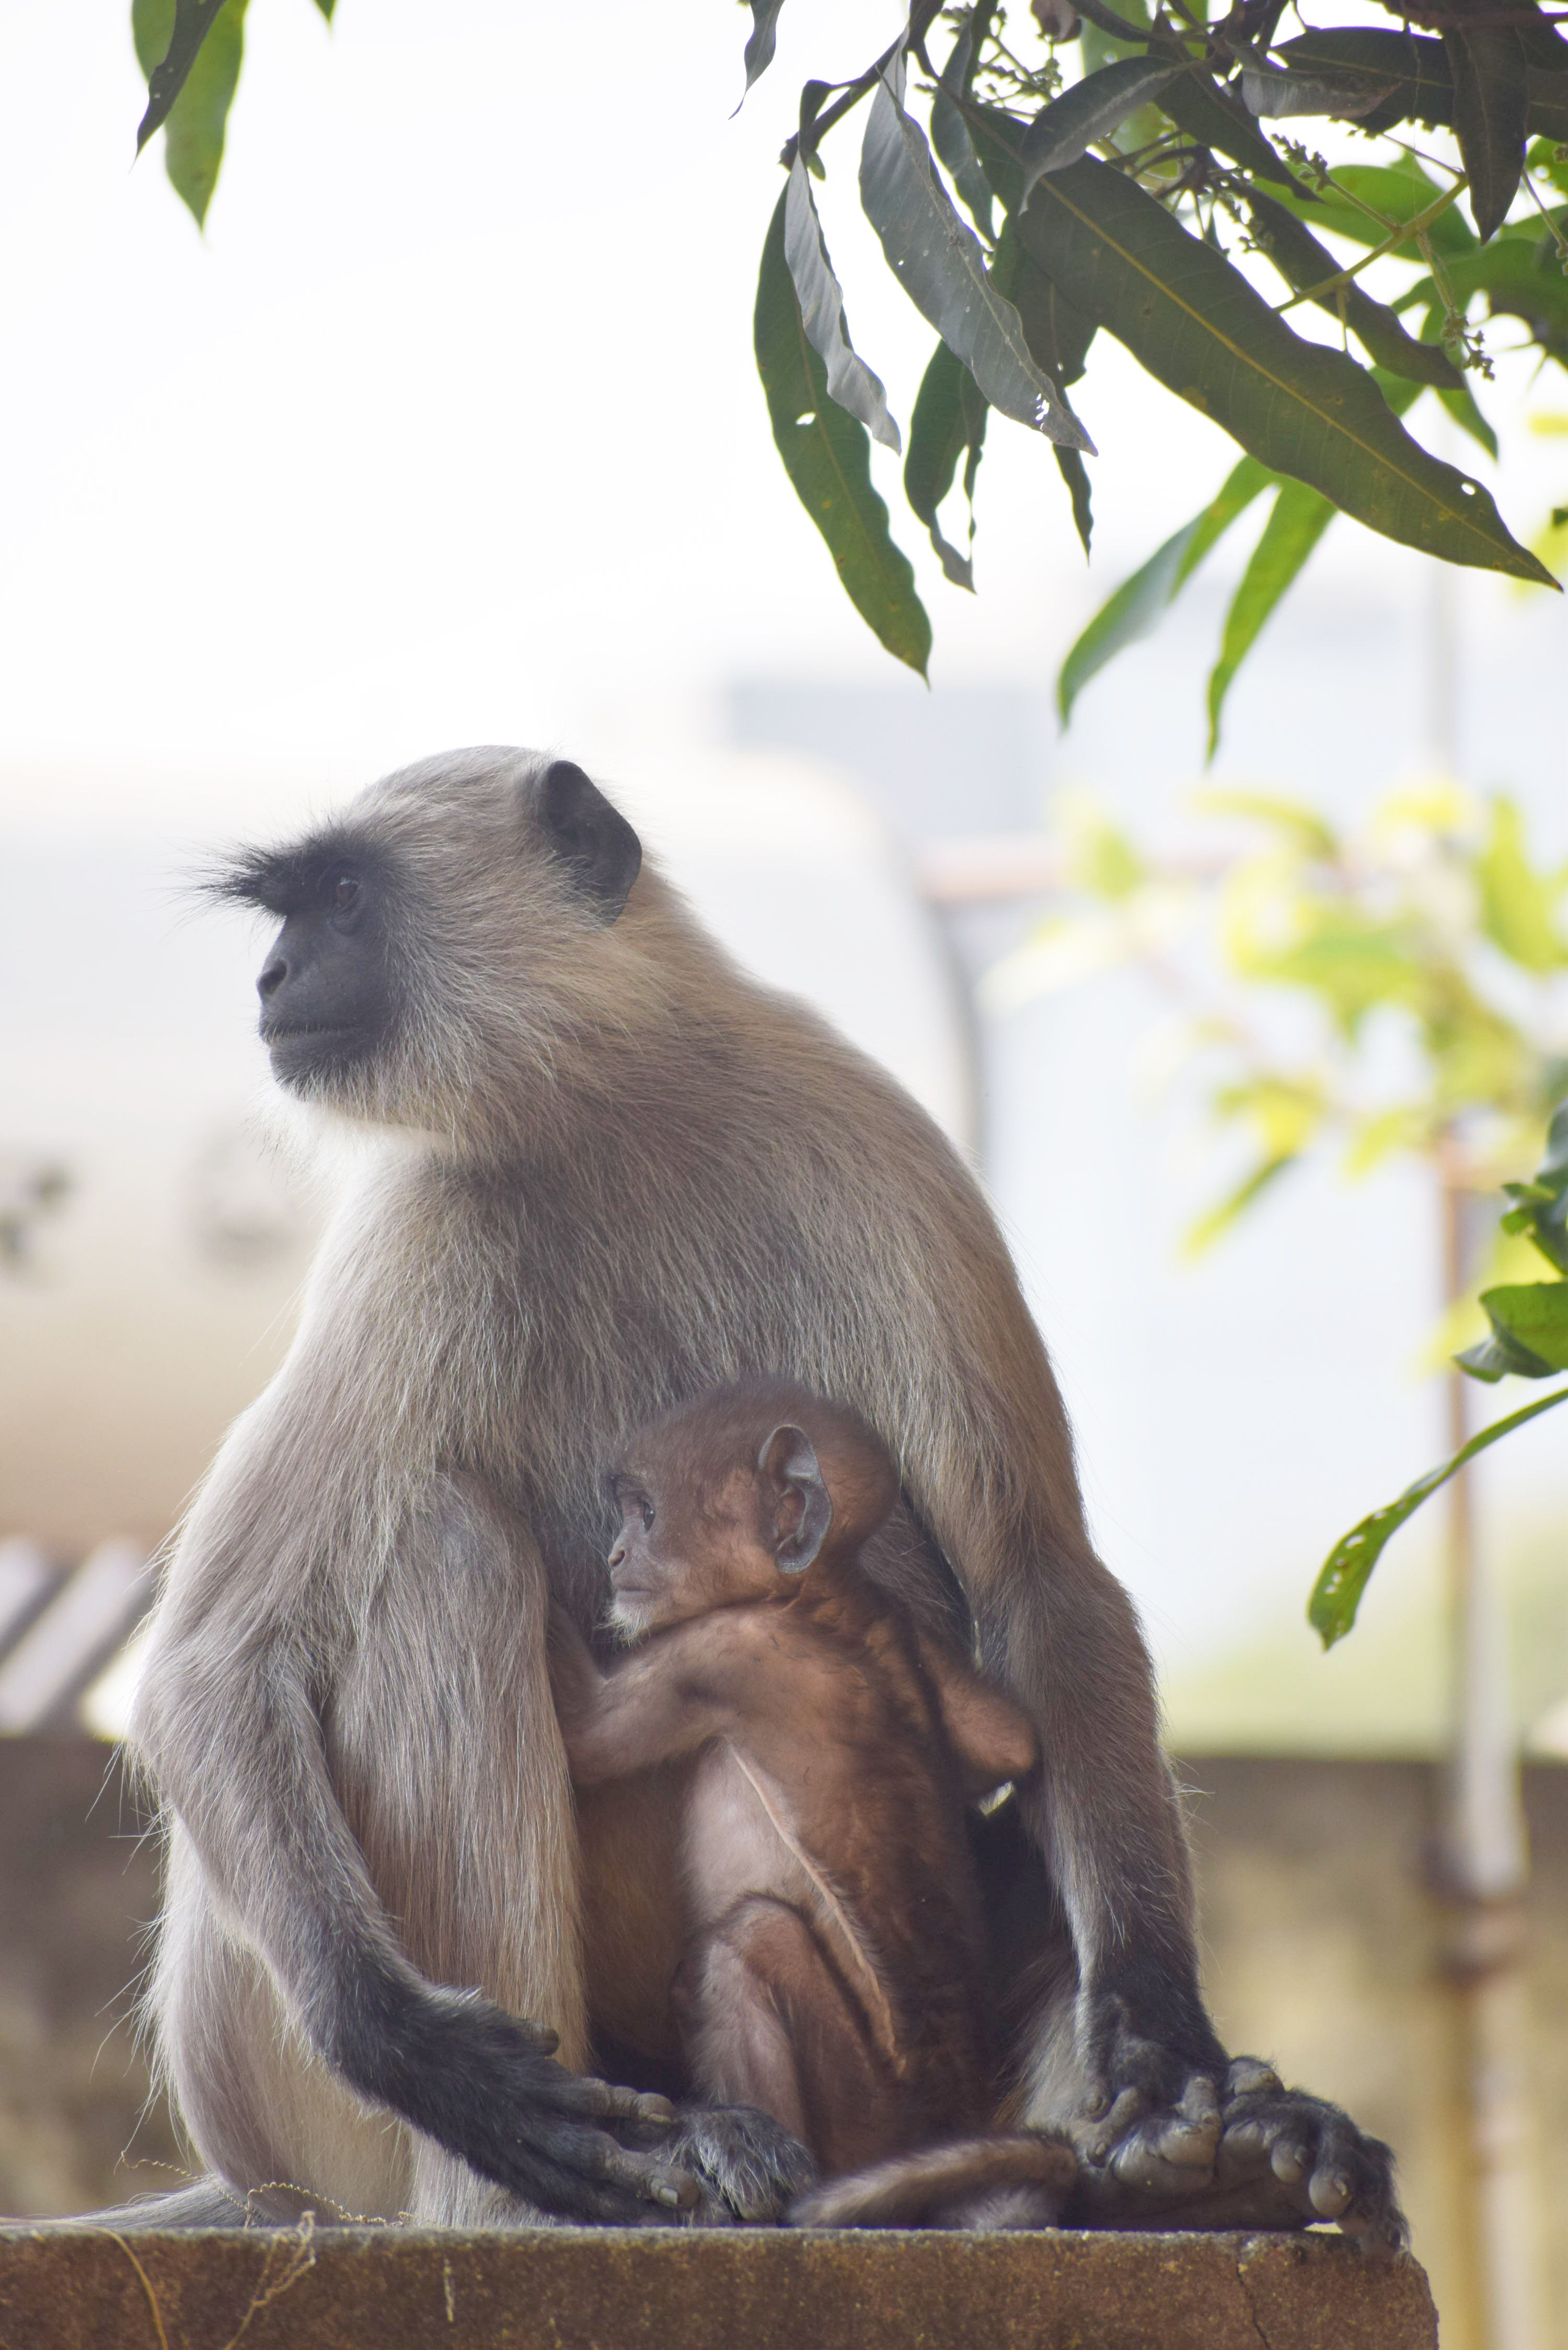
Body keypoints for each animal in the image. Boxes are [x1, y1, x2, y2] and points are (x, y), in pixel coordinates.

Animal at [546, 1380, 1078, 2230]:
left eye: (646, 1514)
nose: (616, 1556)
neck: (821, 1600)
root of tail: (944, 2112)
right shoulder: (898, 1624)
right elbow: (1014, 1743)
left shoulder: (731, 1647)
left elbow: (586, 1735)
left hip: (863, 2105)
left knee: (745, 1941)